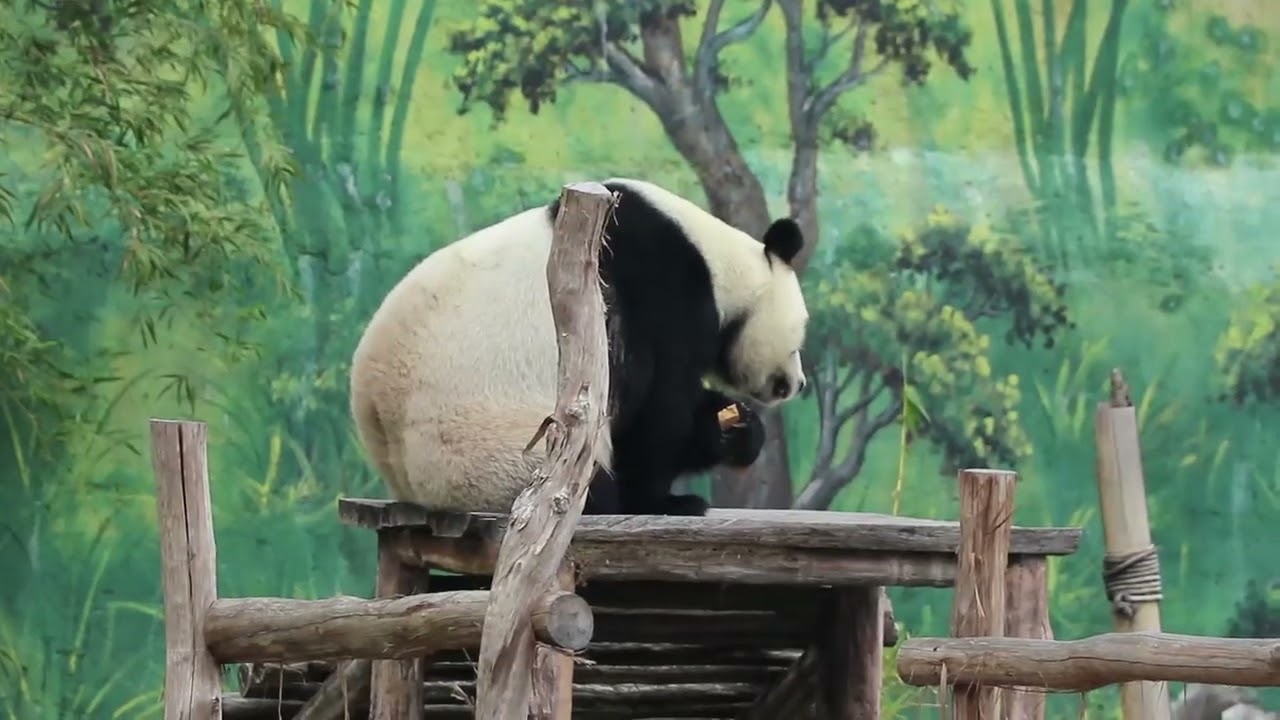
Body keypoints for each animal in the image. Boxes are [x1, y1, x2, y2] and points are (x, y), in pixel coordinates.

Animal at [348, 177, 809, 517]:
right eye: (800, 334)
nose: (800, 384)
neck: (718, 263)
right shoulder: (660, 292)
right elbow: (656, 407)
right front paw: (666, 500)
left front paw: (739, 430)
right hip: (493, 453)